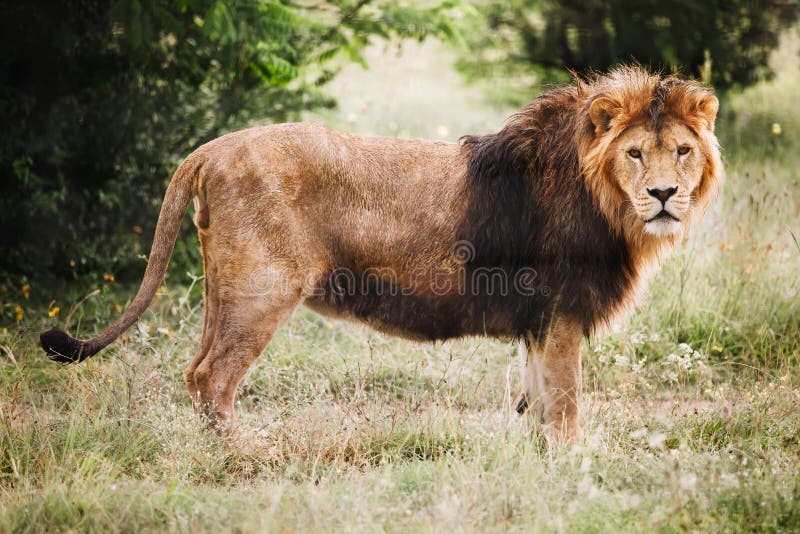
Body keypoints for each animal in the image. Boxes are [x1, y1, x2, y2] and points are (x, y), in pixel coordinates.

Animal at [40, 66, 722, 444]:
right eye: (635, 154)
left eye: (682, 151)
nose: (664, 195)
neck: (607, 201)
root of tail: (209, 148)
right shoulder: (561, 312)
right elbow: (566, 400)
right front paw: (571, 465)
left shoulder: (540, 319)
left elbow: (534, 399)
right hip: (262, 290)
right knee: (213, 377)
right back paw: (245, 456)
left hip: (224, 291)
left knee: (196, 369)